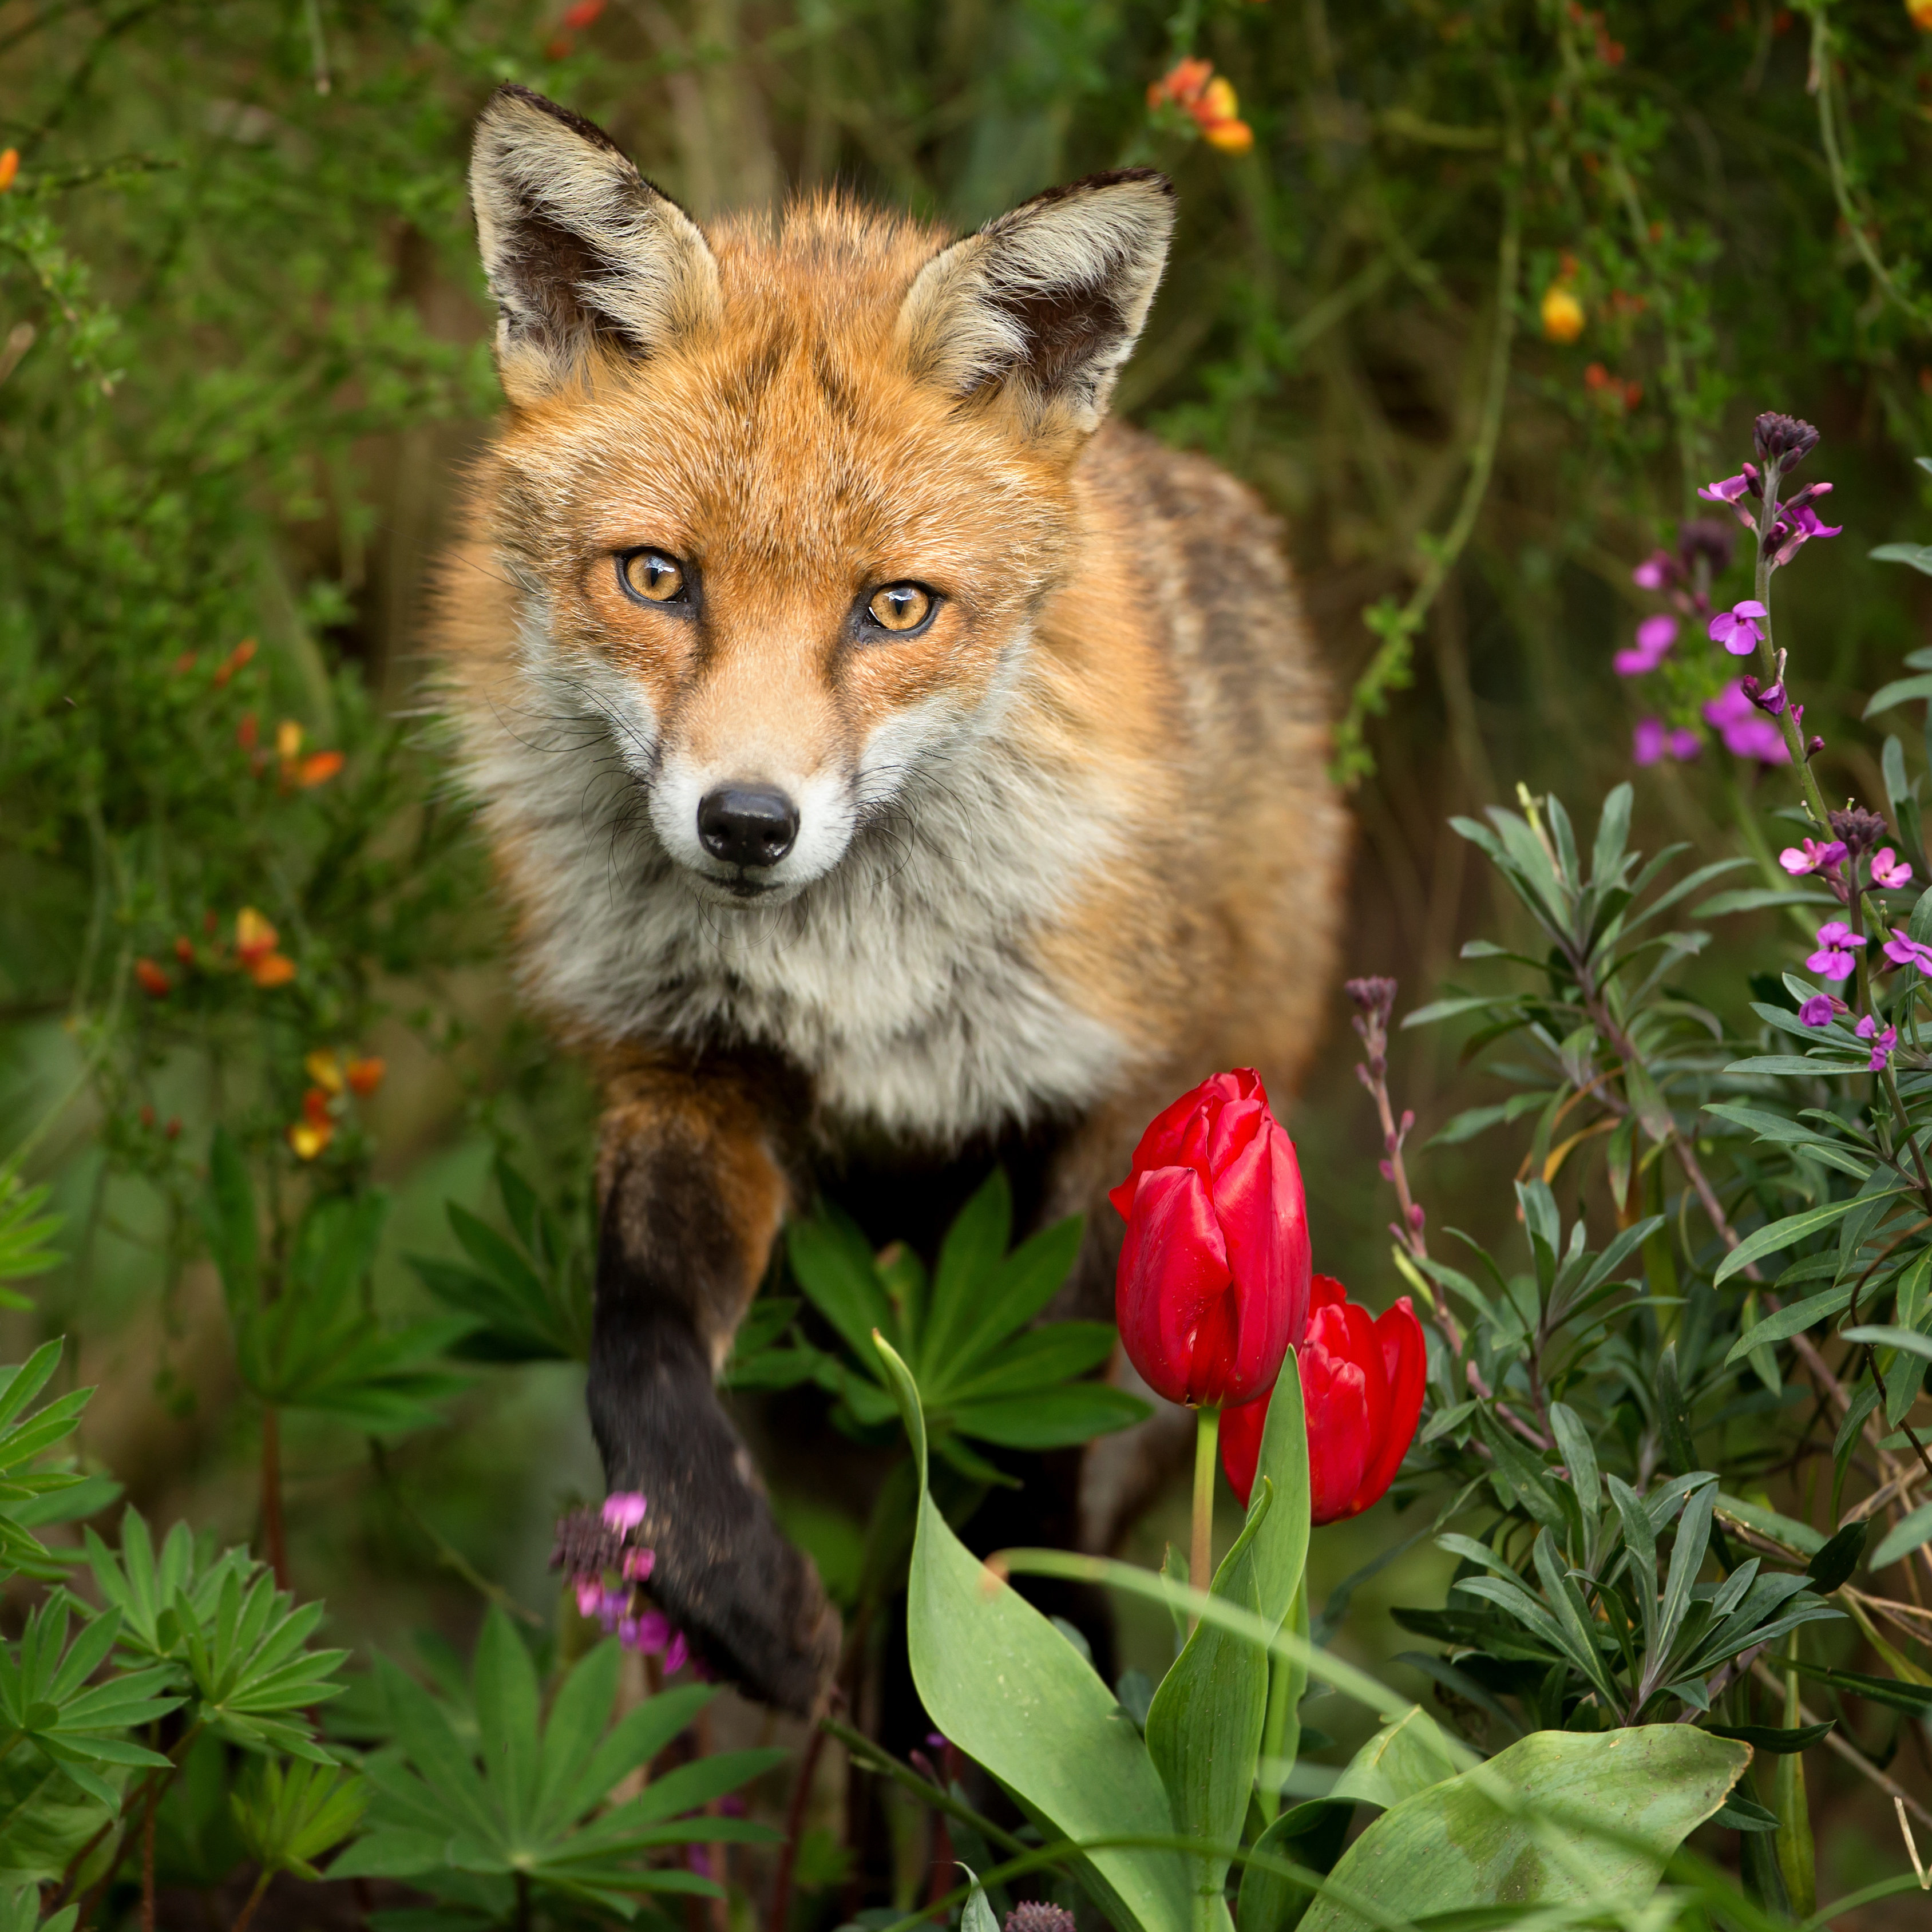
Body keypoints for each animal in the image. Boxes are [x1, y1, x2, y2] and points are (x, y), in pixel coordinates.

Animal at [438, 84, 1347, 1717]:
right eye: (656, 578)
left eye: (895, 608)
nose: (746, 823)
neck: (856, 967)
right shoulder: (699, 1071)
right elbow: (636, 1353)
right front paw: (733, 1592)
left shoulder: (1114, 1110)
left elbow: (1021, 1452)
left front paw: (1018, 1676)